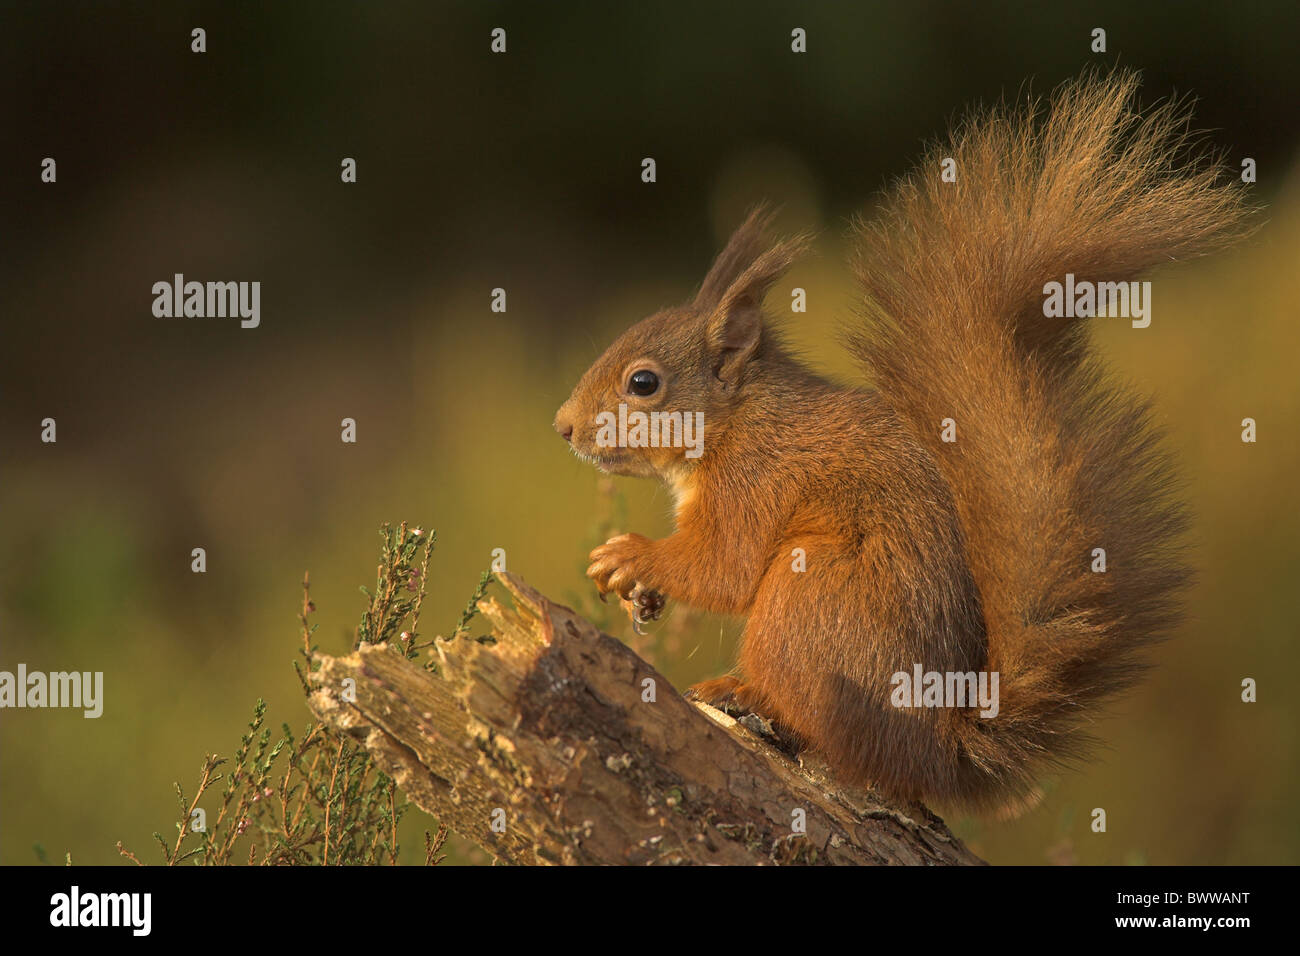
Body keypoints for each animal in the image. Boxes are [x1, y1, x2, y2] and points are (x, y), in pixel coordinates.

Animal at [553, 70, 1251, 815]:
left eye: (643, 382)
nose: (563, 425)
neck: (735, 421)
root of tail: (936, 753)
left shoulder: (755, 483)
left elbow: (724, 567)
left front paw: (629, 556)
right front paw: (641, 596)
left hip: (814, 593)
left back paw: (748, 697)